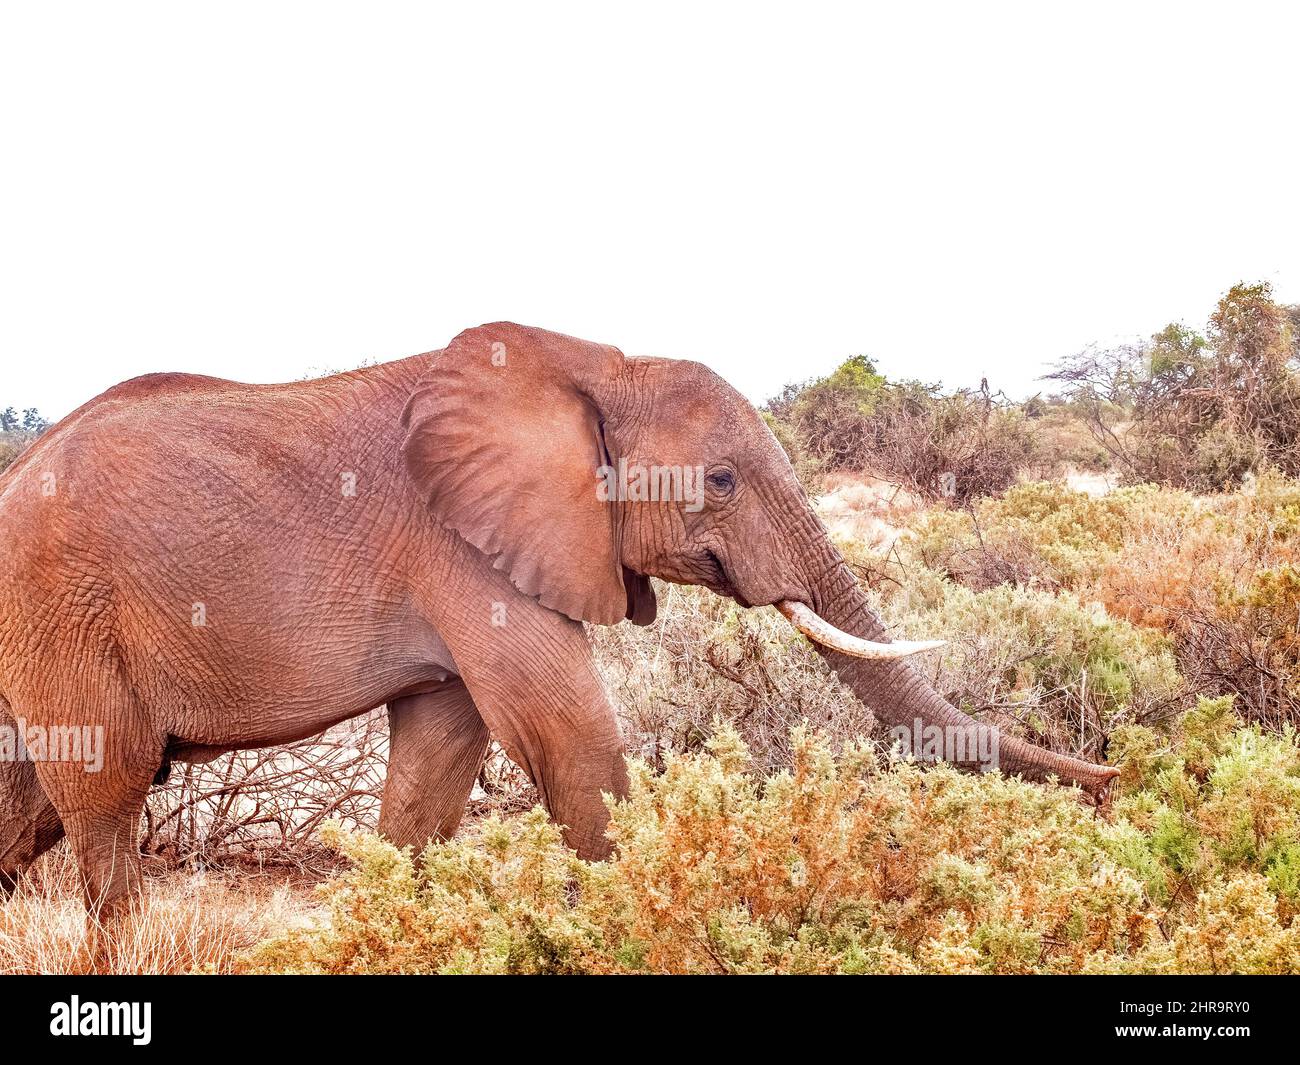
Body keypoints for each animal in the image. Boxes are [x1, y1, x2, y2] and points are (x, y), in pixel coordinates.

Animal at [0, 322, 1117, 912]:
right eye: (719, 480)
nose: (1121, 780)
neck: (597, 367)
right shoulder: (465, 551)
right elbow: (571, 739)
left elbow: (436, 766)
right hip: (63, 609)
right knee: (102, 804)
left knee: (28, 802)